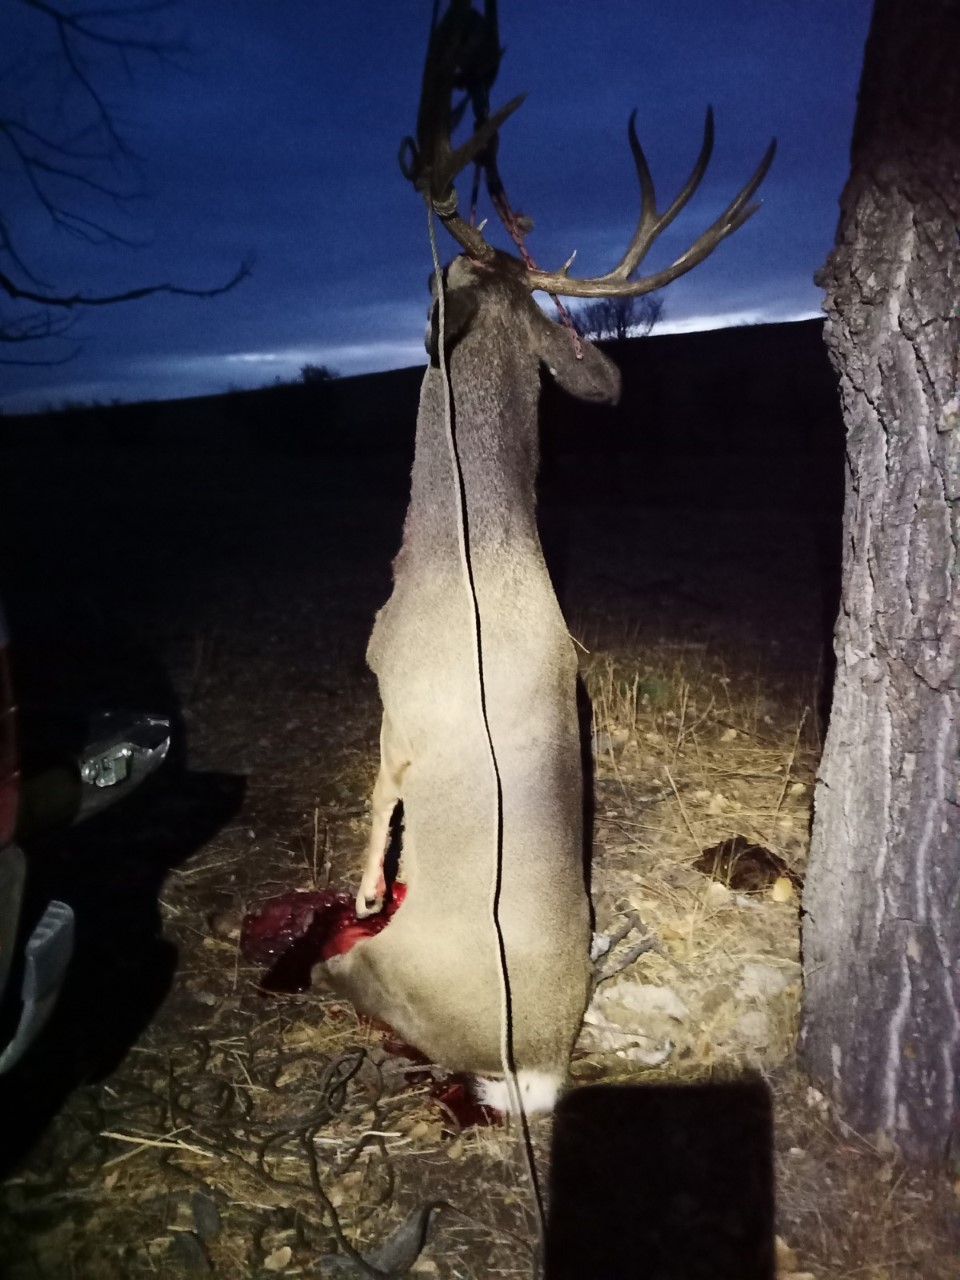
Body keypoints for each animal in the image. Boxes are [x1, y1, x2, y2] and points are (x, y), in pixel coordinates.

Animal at [313, 1, 774, 1113]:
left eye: (434, 282)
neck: (461, 546)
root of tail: (538, 1070)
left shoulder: (394, 695)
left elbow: (373, 810)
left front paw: (357, 880)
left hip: (380, 971)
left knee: (342, 966)